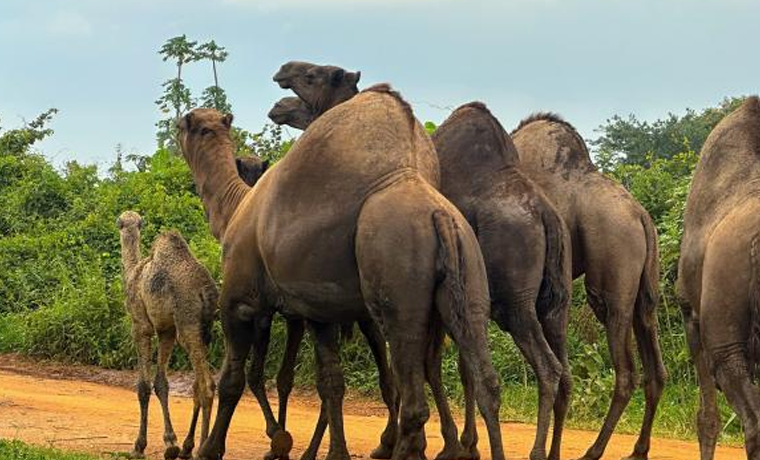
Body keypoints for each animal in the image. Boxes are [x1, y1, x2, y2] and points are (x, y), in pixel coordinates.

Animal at [117, 211, 217, 460]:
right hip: (203, 329)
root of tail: (207, 291)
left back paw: (203, 450)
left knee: (206, 385)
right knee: (198, 384)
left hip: (188, 323)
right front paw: (171, 443)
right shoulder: (166, 330)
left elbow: (143, 386)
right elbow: (161, 382)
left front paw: (139, 446)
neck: (133, 274)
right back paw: (189, 447)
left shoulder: (140, 325)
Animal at [177, 87, 504, 460]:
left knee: (414, 400)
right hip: (468, 276)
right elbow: (330, 382)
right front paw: (330, 451)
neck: (235, 209)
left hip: (399, 291)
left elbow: (234, 378)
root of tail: (440, 217)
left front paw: (212, 448)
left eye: (192, 125)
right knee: (485, 382)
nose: (180, 123)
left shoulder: (240, 300)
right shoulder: (319, 309)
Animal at [511, 115, 666, 460]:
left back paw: (593, 450)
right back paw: (638, 449)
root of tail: (643, 218)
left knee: (626, 372)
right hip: (645, 294)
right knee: (655, 368)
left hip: (611, 285)